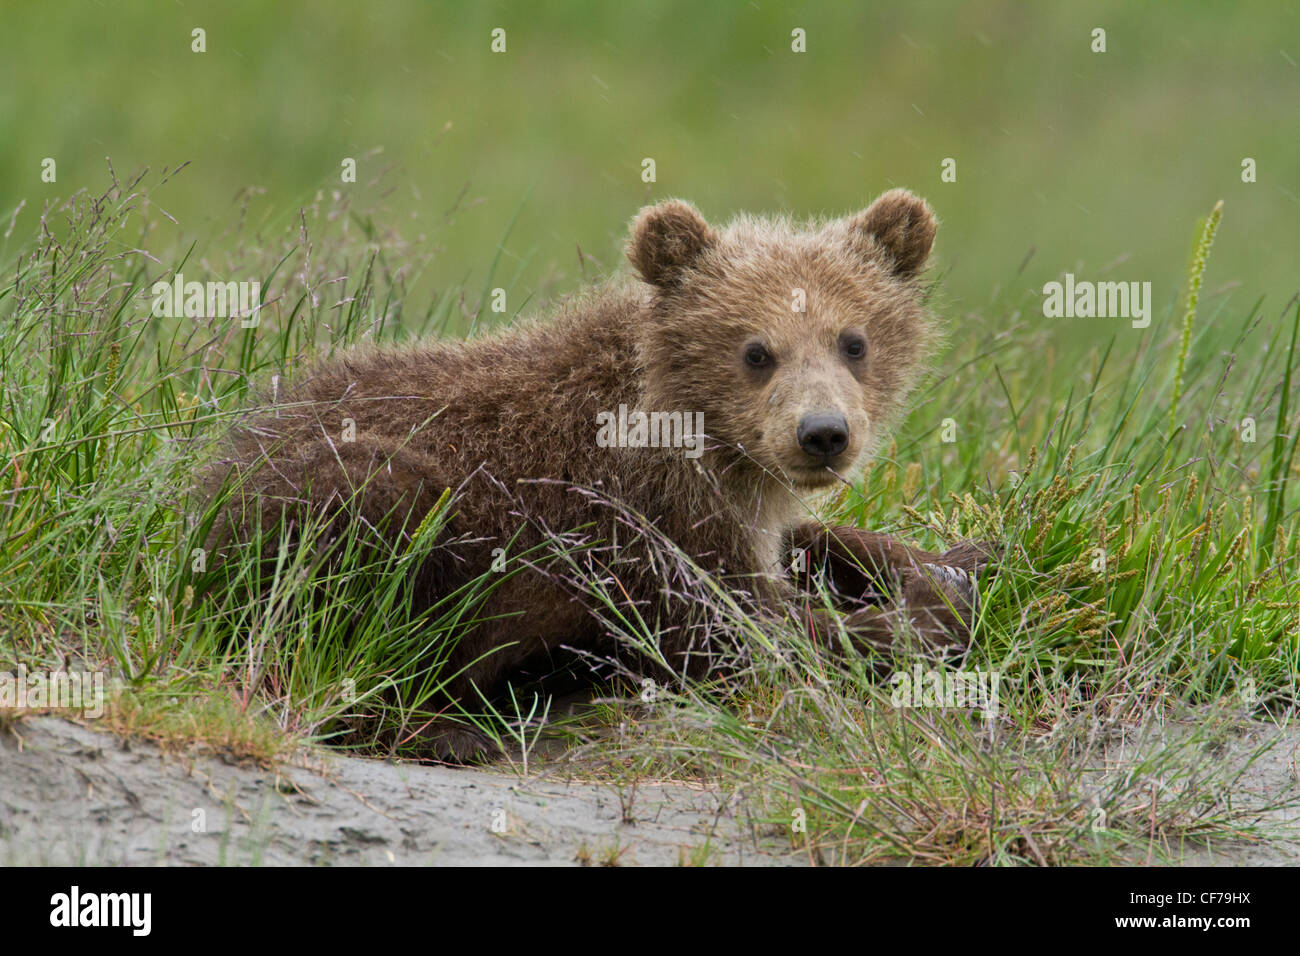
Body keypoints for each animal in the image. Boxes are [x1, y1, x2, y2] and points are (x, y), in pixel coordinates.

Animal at [204, 188, 992, 762]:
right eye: (756, 351)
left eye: (854, 341)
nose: (823, 433)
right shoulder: (629, 522)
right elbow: (738, 630)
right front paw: (923, 617)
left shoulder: (734, 507)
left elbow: (805, 546)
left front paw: (955, 559)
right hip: (343, 500)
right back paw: (448, 727)